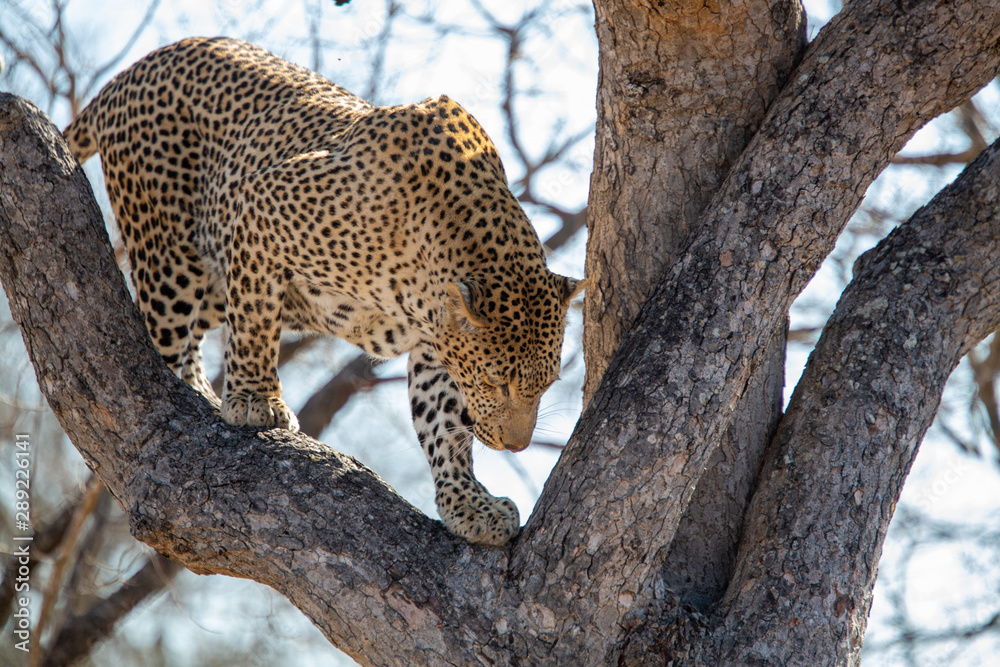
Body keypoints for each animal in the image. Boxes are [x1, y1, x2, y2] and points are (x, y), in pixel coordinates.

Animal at [63, 37, 585, 546]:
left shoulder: (437, 344)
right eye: (497, 383)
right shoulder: (262, 206)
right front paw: (255, 401)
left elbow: (443, 420)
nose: (517, 444)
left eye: (545, 386)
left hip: (210, 283)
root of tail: (139, 67)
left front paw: (469, 505)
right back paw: (199, 393)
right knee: (168, 344)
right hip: (171, 258)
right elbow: (255, 322)